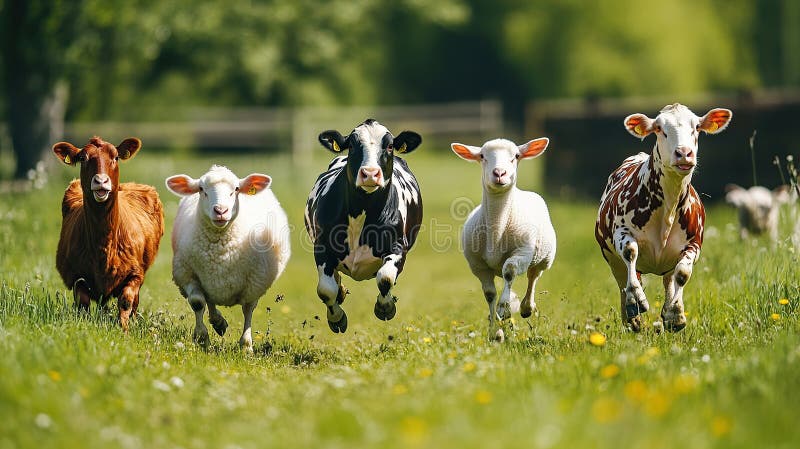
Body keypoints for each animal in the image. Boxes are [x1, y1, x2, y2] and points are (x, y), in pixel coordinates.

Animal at [53, 136, 164, 331]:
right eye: (82, 158)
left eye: (116, 157)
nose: (101, 181)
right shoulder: (75, 274)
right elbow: (82, 301)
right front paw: (83, 324)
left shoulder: (135, 273)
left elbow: (126, 300)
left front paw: (124, 329)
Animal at [166, 165, 290, 352]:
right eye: (201, 189)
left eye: (236, 189)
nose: (220, 211)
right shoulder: (187, 274)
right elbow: (197, 302)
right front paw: (202, 337)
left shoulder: (255, 282)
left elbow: (248, 309)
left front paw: (246, 346)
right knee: (209, 300)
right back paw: (218, 322)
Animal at [304, 119, 423, 333]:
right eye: (352, 145)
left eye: (390, 146)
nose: (370, 173)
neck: (362, 210)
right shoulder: (322, 246)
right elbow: (325, 290)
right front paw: (336, 318)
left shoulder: (398, 246)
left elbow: (385, 277)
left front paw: (385, 307)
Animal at [451, 137, 556, 341]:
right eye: (482, 156)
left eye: (516, 156)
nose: (499, 173)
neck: (497, 229)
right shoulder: (479, 266)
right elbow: (490, 294)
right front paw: (495, 331)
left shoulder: (523, 253)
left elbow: (509, 271)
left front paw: (504, 308)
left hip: (543, 258)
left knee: (533, 277)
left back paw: (526, 307)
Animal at [595, 104, 732, 332]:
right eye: (659, 128)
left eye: (696, 127)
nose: (684, 153)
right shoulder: (621, 232)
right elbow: (630, 252)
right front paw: (636, 300)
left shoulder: (694, 242)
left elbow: (683, 273)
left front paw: (675, 313)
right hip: (611, 256)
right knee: (623, 278)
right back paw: (631, 316)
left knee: (670, 279)